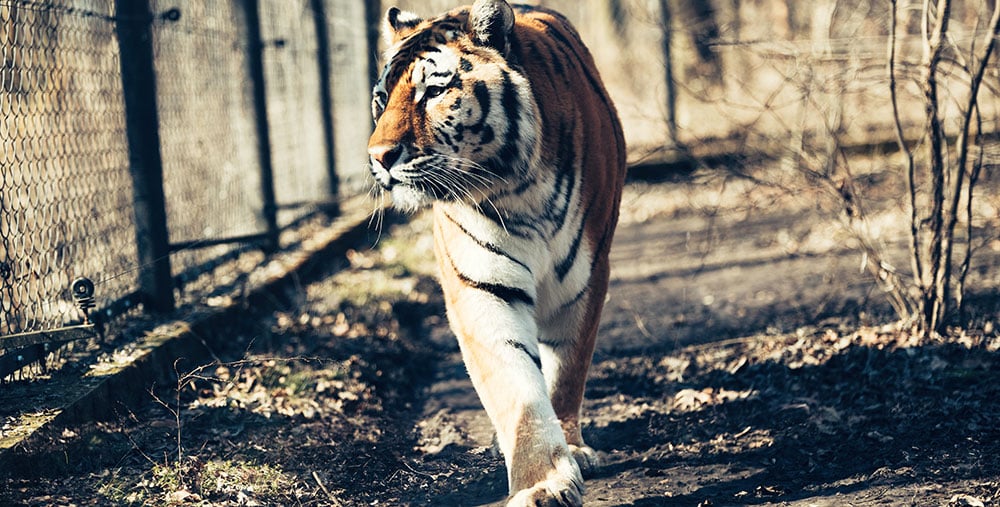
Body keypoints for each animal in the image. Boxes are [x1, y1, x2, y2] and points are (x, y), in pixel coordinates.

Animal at [367, 1, 626, 505]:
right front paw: (542, 482)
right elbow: (516, 390)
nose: (379, 156)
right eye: (380, 99)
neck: (521, 189)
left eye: (434, 90)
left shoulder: (584, 279)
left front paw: (570, 450)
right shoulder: (480, 287)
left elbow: (566, 372)